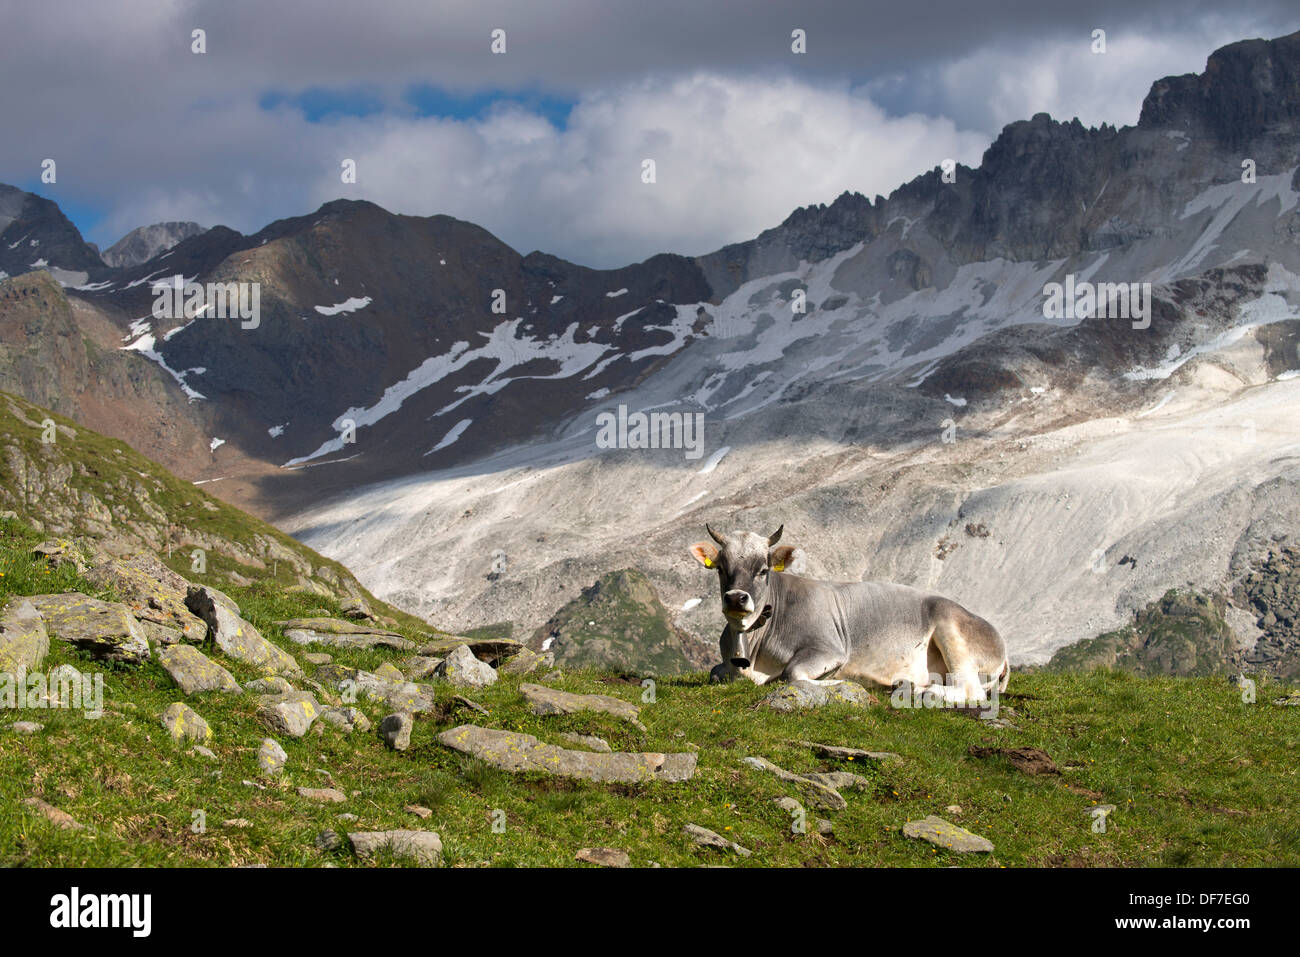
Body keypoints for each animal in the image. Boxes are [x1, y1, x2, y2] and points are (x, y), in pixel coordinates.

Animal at [689, 524, 1009, 703]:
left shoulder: (828, 649)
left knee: (970, 689)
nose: (736, 598)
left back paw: (922, 691)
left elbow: (792, 674)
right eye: (720, 568)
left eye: (763, 570)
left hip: (950, 627)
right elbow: (714, 673)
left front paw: (841, 683)